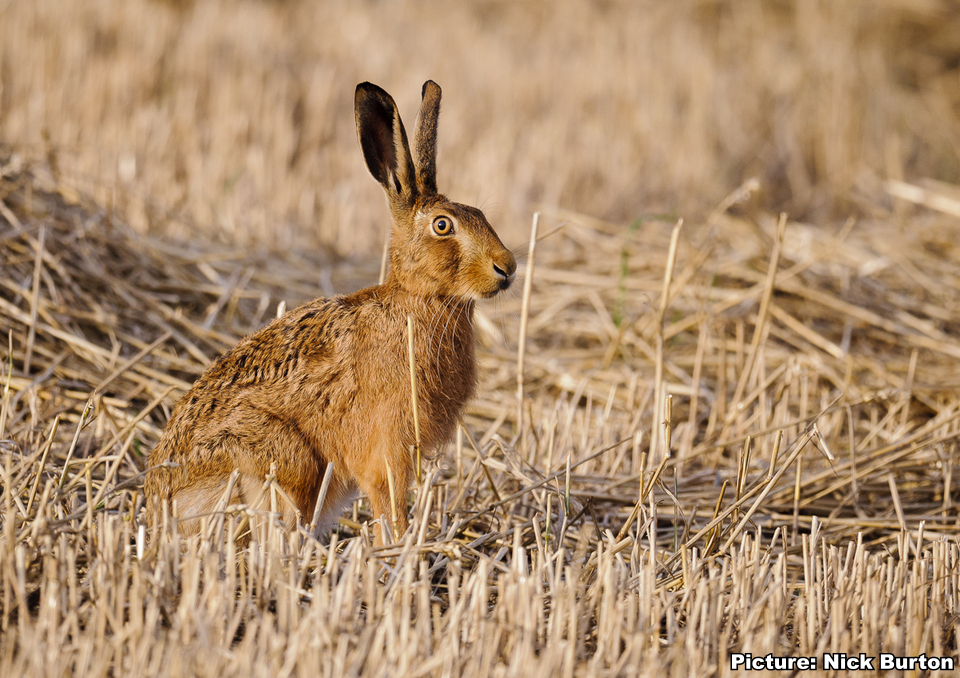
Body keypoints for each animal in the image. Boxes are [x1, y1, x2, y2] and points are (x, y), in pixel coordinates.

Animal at [144, 81, 517, 545]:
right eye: (443, 225)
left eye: (481, 215)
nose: (507, 268)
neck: (417, 299)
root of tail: (161, 508)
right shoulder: (386, 447)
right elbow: (389, 500)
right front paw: (398, 547)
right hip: (280, 458)